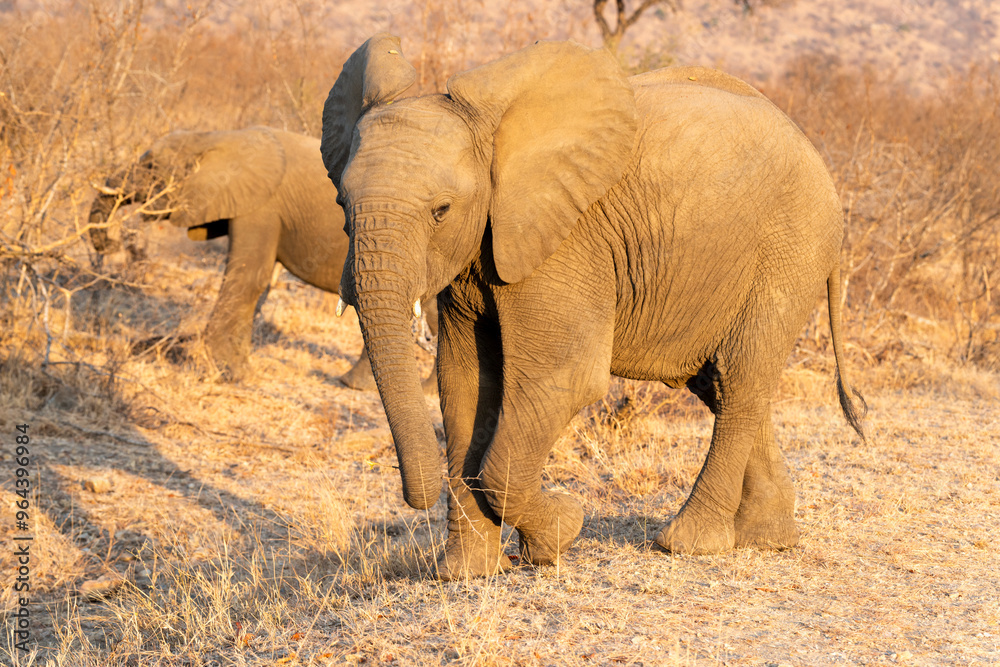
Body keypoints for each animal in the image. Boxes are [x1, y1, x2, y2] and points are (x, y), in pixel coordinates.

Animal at [88, 126, 437, 389]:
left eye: (150, 167)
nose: (111, 243)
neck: (216, 137)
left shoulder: (261, 204)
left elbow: (249, 277)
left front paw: (223, 372)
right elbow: (260, 284)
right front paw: (237, 368)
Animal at [320, 34, 868, 580]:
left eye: (441, 210)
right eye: (342, 206)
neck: (497, 140)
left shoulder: (565, 242)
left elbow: (565, 378)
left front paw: (562, 529)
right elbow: (466, 384)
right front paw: (467, 573)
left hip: (790, 247)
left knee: (739, 377)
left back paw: (685, 544)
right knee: (719, 383)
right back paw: (767, 538)